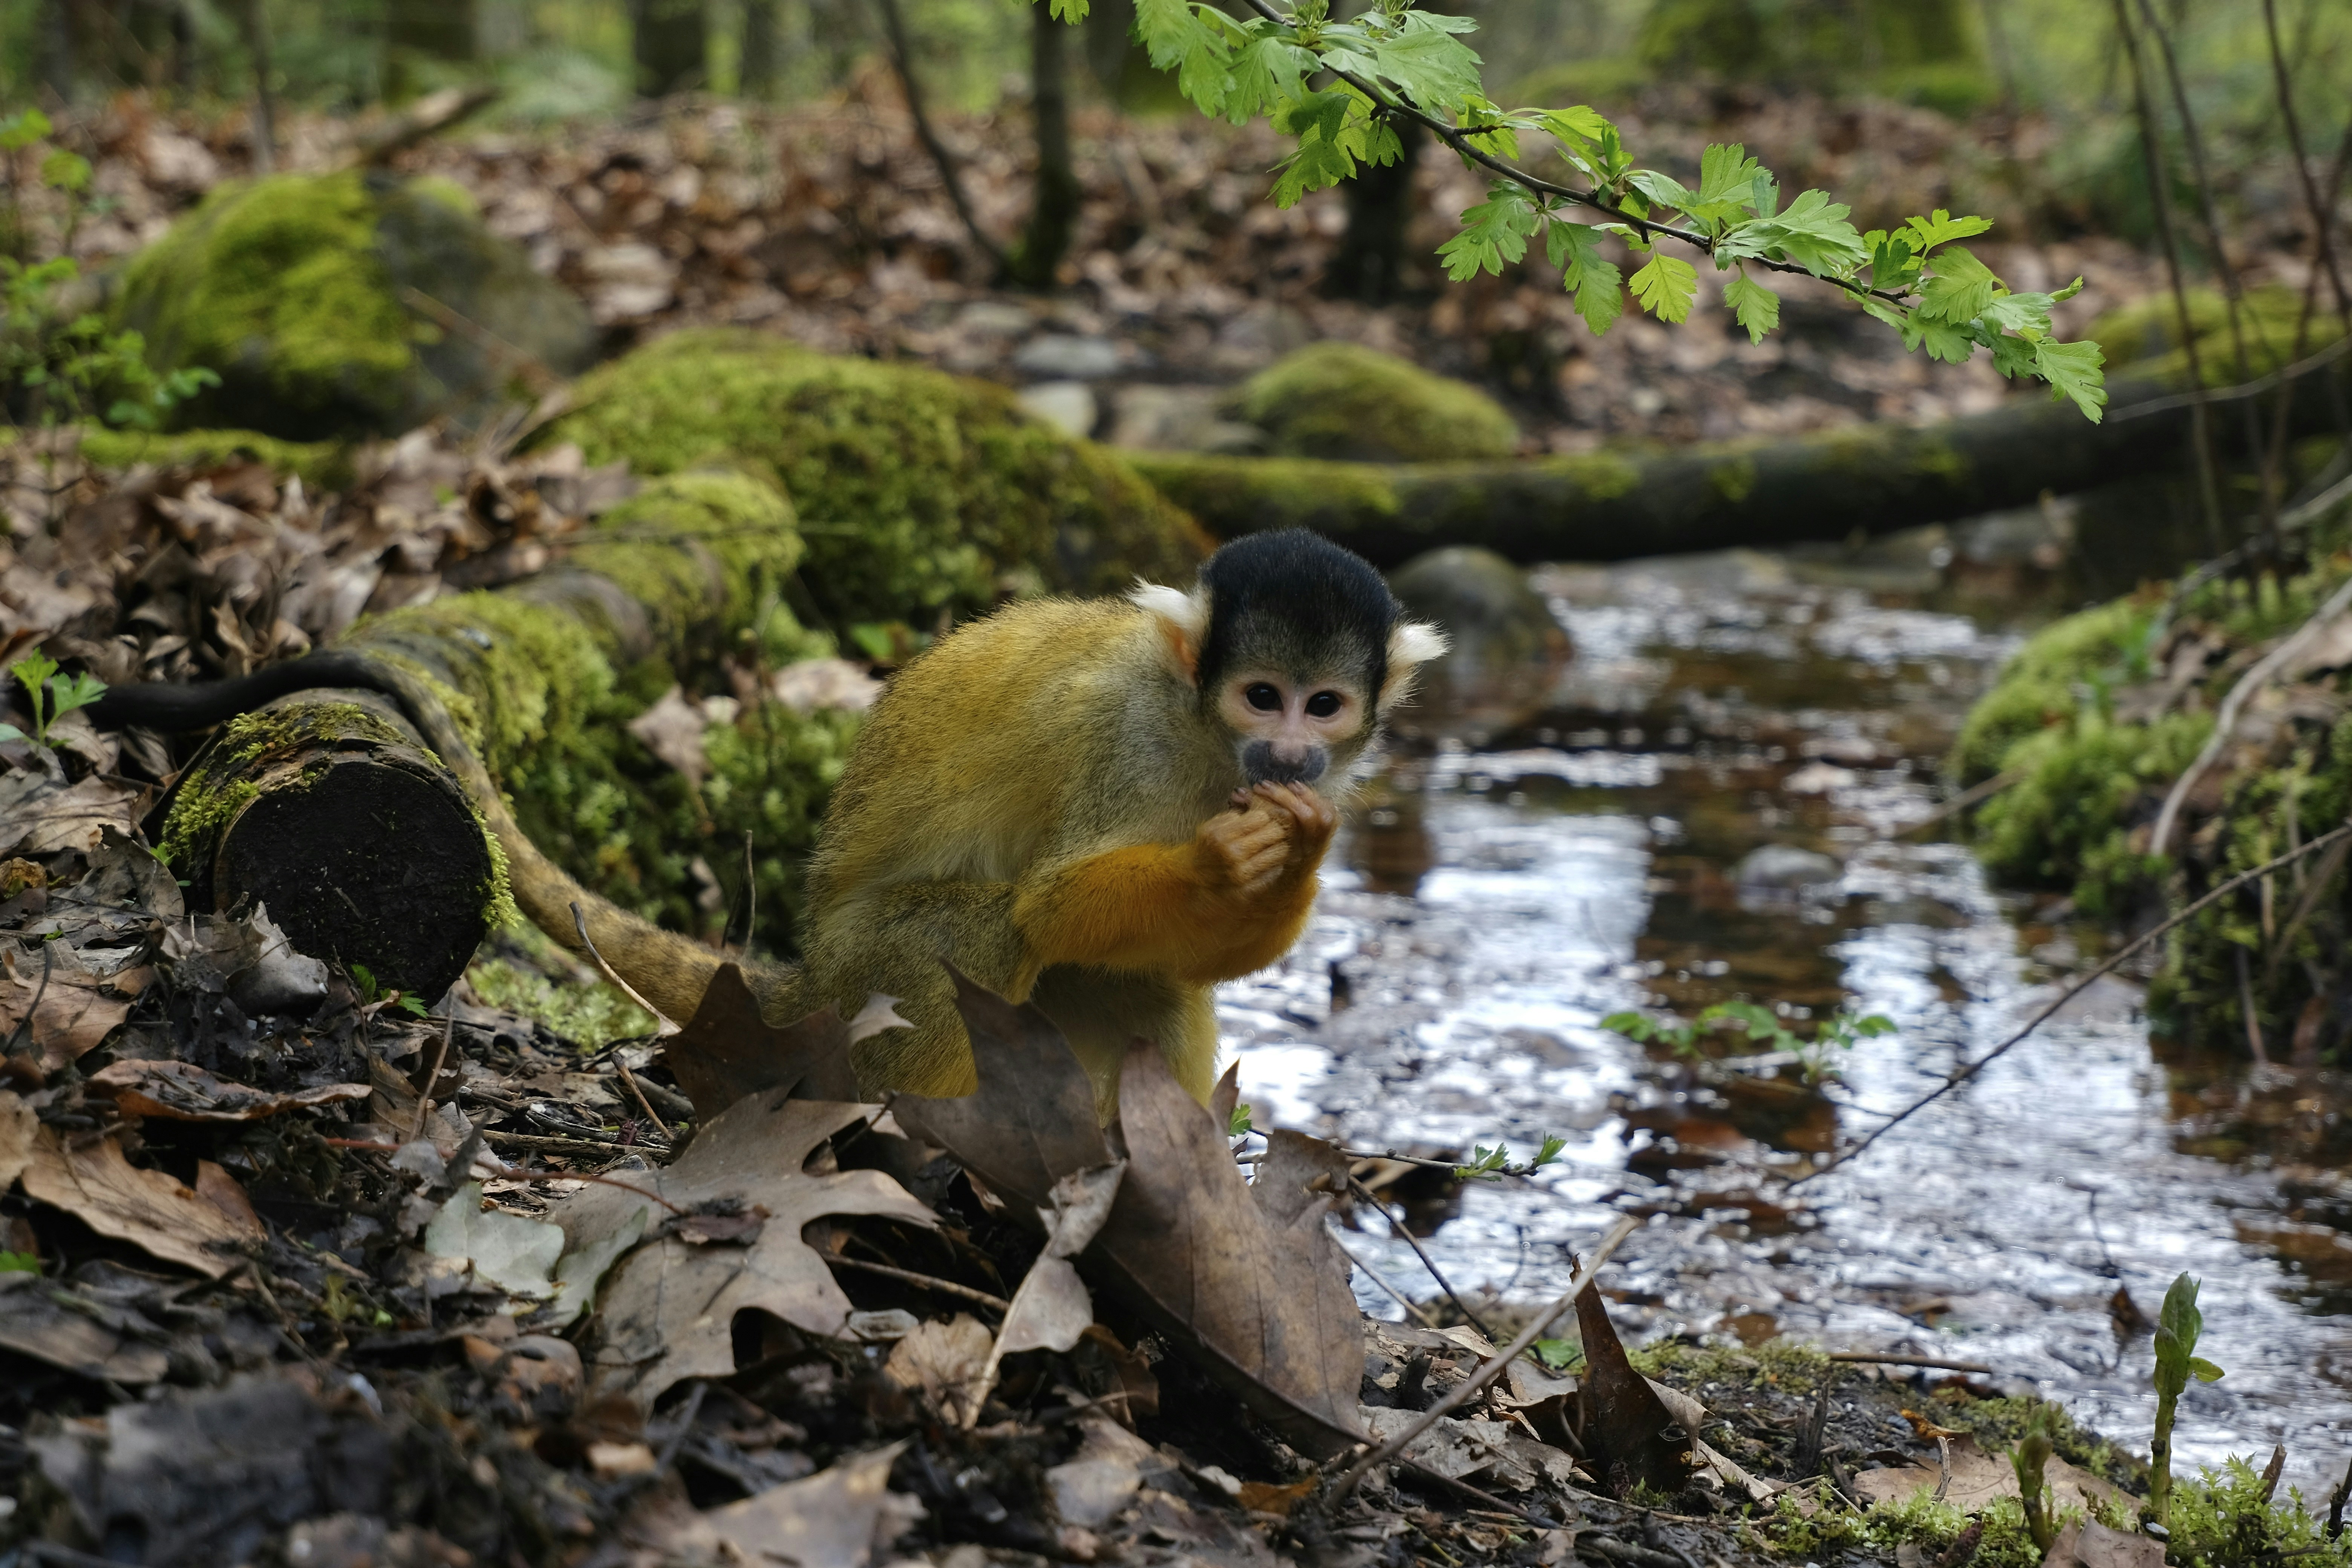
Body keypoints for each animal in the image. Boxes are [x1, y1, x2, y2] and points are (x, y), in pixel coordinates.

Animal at [94, 528, 1445, 1116]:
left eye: (1325, 705)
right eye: (1260, 693)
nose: (1291, 747)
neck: (1209, 745)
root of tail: (803, 973)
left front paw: (1294, 854)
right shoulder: (1131, 733)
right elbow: (1059, 900)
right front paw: (1225, 860)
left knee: (1140, 988)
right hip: (863, 975)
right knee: (978, 941)